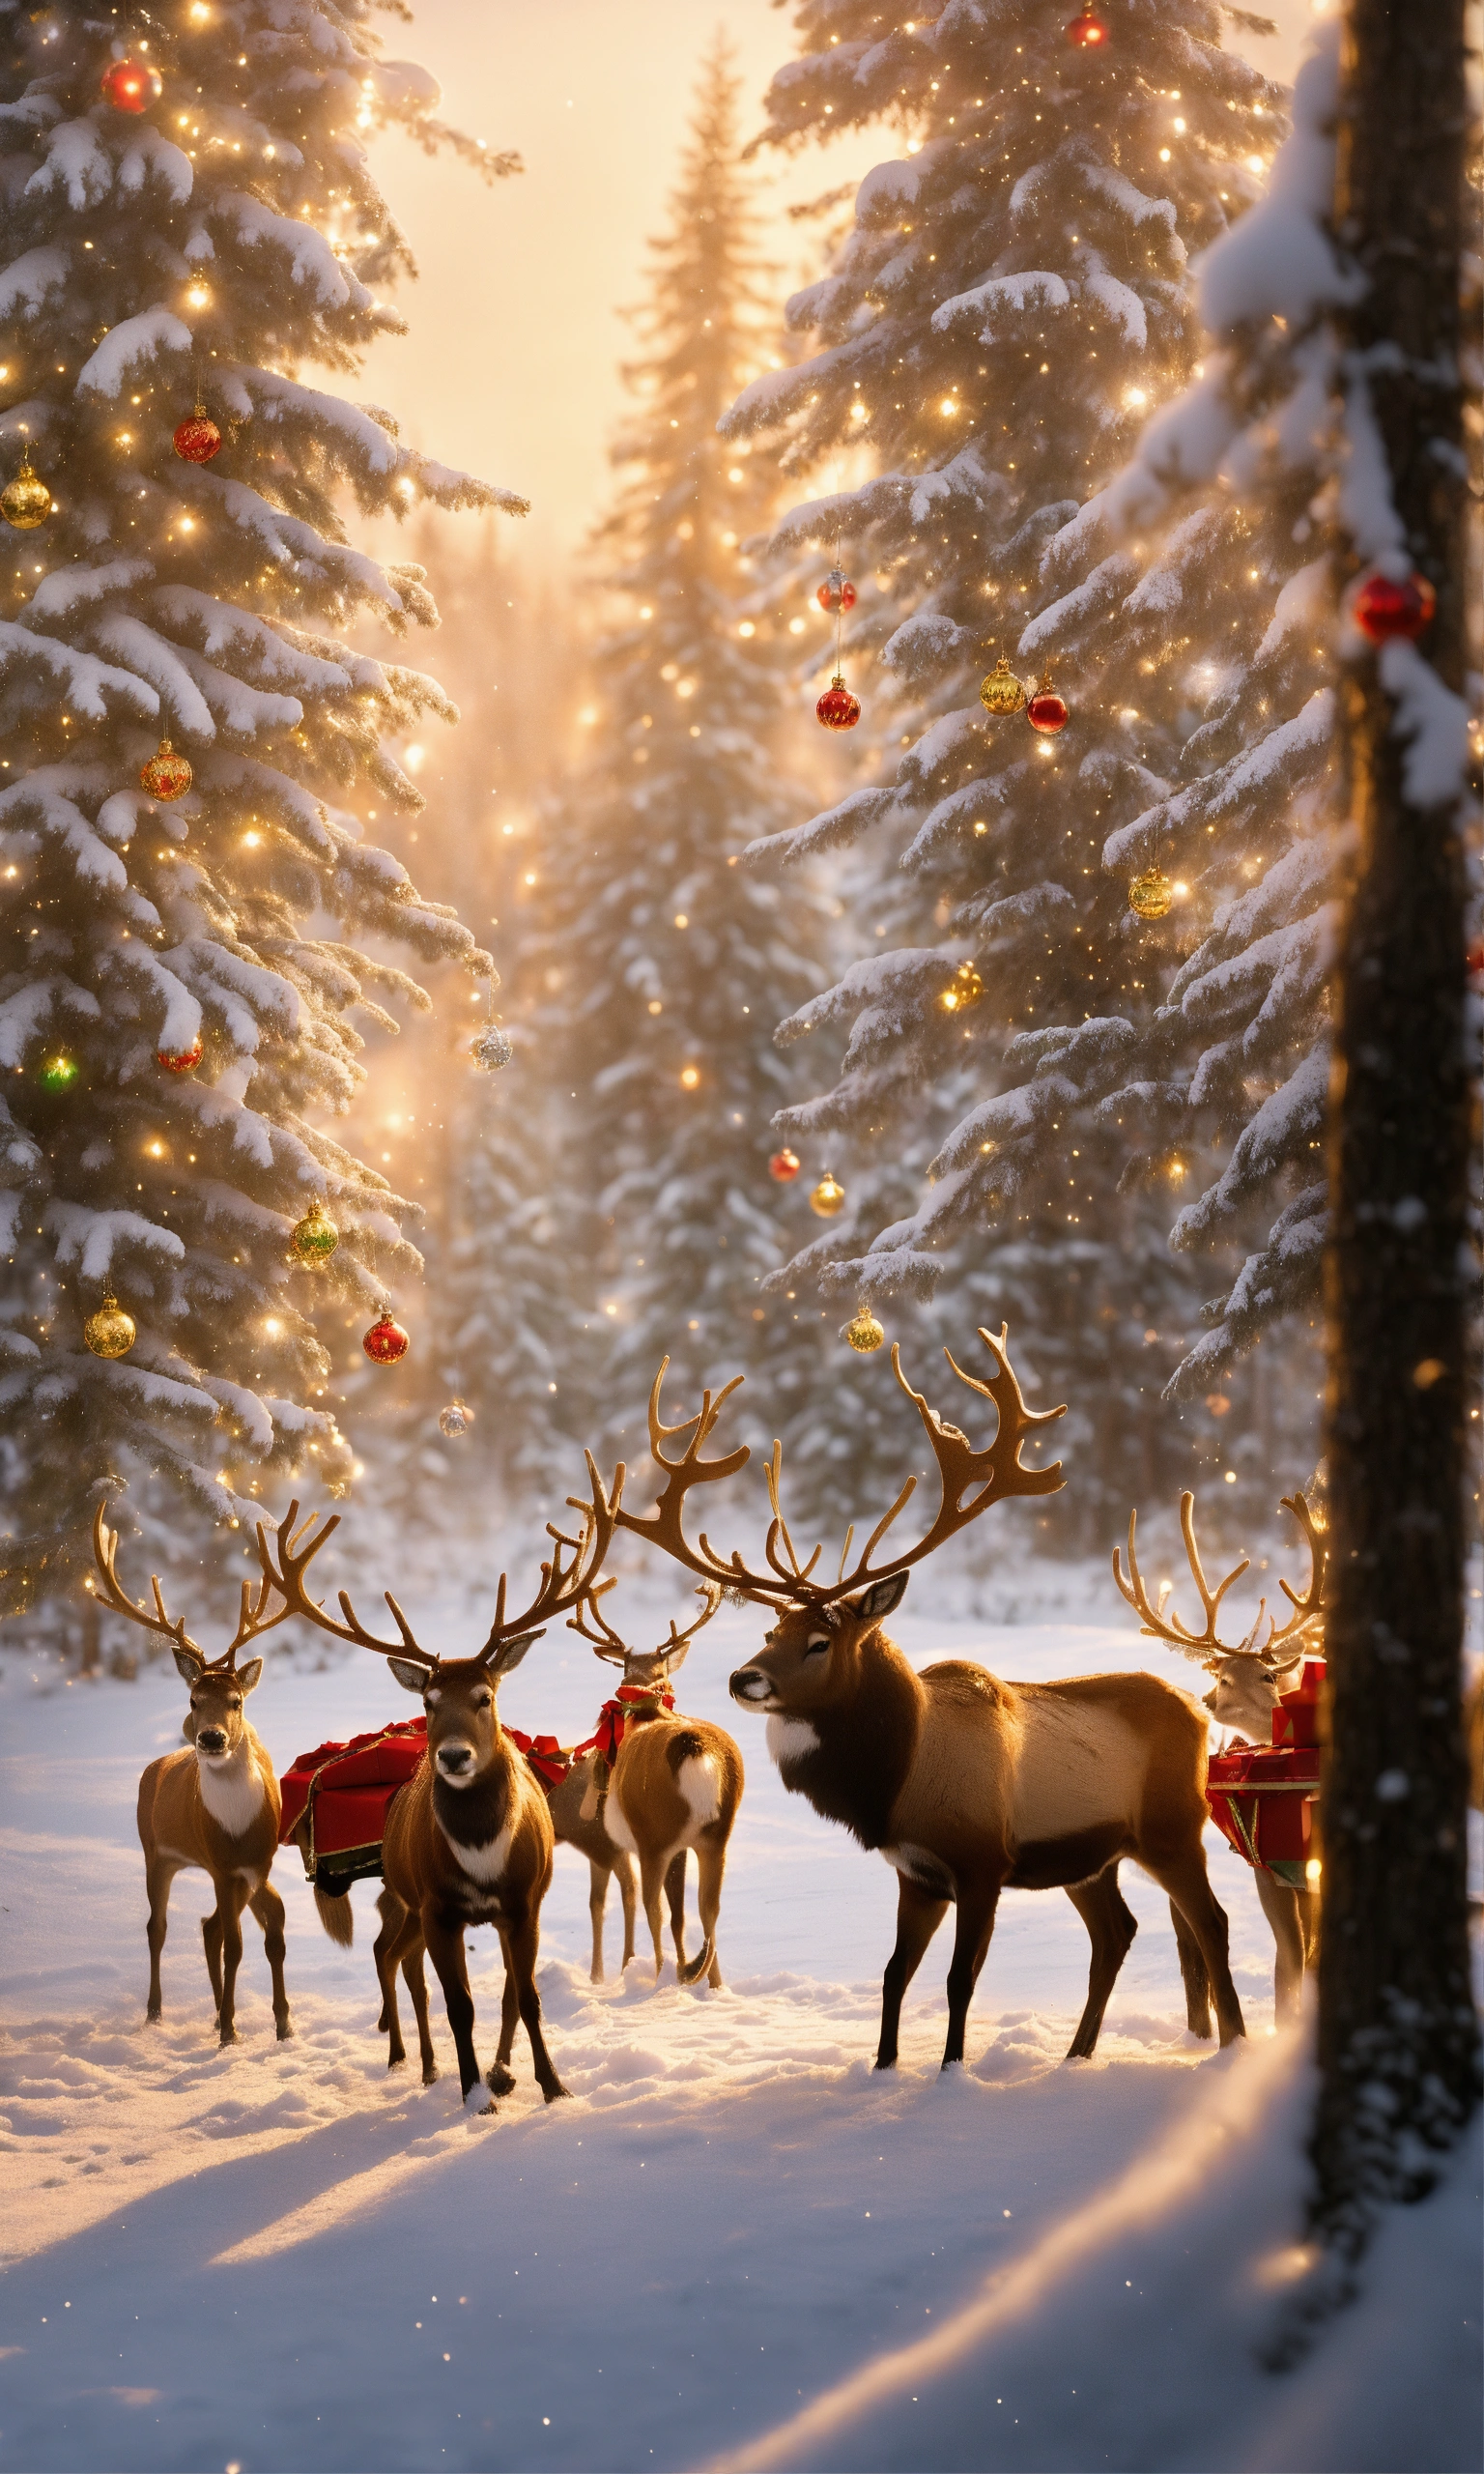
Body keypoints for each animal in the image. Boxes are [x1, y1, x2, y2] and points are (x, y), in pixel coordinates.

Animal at [90, 1504, 295, 2046]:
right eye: (192, 1699)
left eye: (237, 1700)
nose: (211, 1739)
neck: (238, 1824)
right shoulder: (221, 1863)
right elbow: (237, 1944)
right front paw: (230, 2031)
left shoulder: (256, 1864)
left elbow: (270, 1933)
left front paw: (279, 2024)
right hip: (155, 1852)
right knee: (158, 1927)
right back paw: (157, 2012)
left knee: (210, 1927)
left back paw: (217, 2015)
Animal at [256, 1462, 622, 2110]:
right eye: (429, 1701)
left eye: (485, 1696)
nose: (453, 1755)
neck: (480, 1857)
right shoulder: (439, 1906)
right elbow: (460, 2006)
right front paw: (475, 2096)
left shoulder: (523, 1902)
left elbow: (525, 1996)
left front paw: (552, 2086)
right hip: (407, 1896)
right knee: (395, 1961)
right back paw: (415, 2062)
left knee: (431, 1968)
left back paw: (482, 2067)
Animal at [560, 1580, 743, 1988]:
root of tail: (691, 1746)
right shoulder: (682, 1847)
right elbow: (681, 1916)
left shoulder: (653, 1844)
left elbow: (660, 1912)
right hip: (716, 1833)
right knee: (708, 1908)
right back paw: (712, 1982)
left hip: (652, 1833)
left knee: (653, 1909)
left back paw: (661, 1979)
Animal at [615, 1325, 1246, 2074]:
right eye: (772, 1631)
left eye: (821, 1642)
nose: (745, 1680)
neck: (899, 1776)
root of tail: (1197, 1710)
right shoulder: (915, 1873)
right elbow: (894, 1973)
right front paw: (883, 2067)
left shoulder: (982, 1863)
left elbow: (956, 1979)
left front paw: (950, 2071)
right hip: (1089, 1857)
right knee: (1116, 1933)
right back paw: (1076, 2056)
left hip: (1172, 1828)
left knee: (1211, 1921)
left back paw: (1233, 2043)